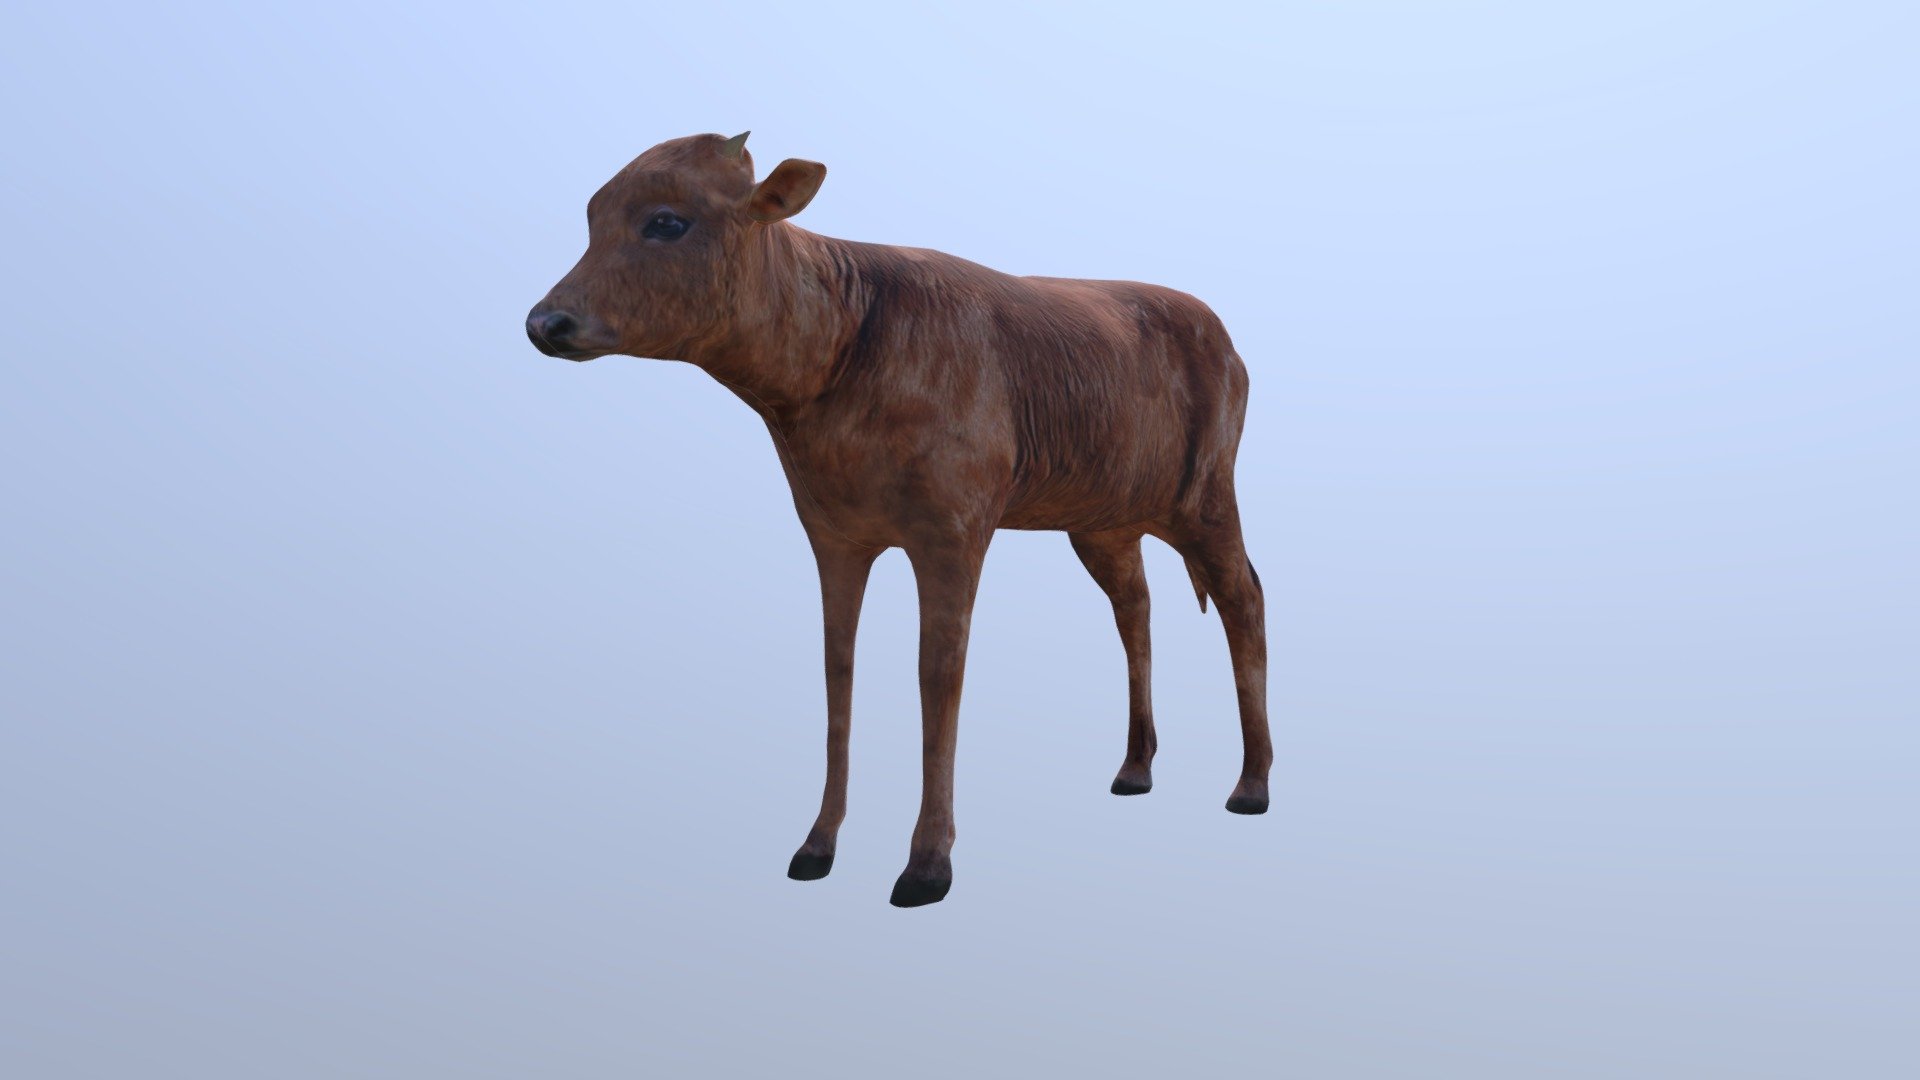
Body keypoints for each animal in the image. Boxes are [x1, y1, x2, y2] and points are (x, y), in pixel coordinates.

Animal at [526, 132, 1269, 907]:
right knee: (1135, 607)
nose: (545, 321)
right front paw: (816, 845)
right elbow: (838, 668)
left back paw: (1250, 785)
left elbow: (937, 673)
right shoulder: (832, 534)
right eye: (592, 218)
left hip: (1206, 497)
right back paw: (1135, 769)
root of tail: (1222, 334)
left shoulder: (952, 531)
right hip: (1104, 520)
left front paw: (926, 863)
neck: (836, 353)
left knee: (1244, 597)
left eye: (666, 222)